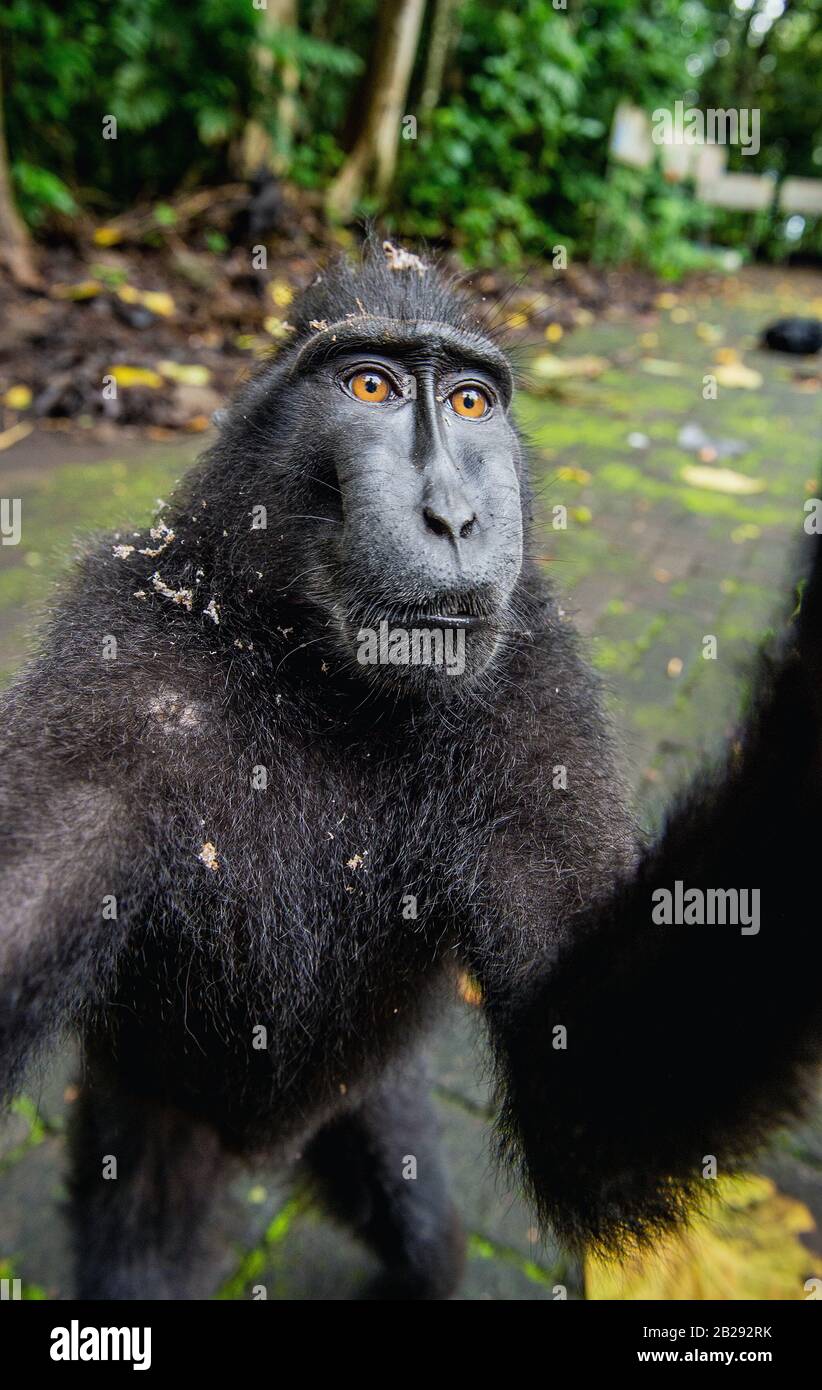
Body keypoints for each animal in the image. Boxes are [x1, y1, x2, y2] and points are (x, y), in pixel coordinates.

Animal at [0, 236, 820, 1300]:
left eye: (472, 403)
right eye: (371, 386)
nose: (456, 517)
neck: (325, 687)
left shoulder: (535, 689)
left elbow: (580, 1091)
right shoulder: (120, 659)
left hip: (368, 1101)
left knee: (425, 1230)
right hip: (149, 1113)